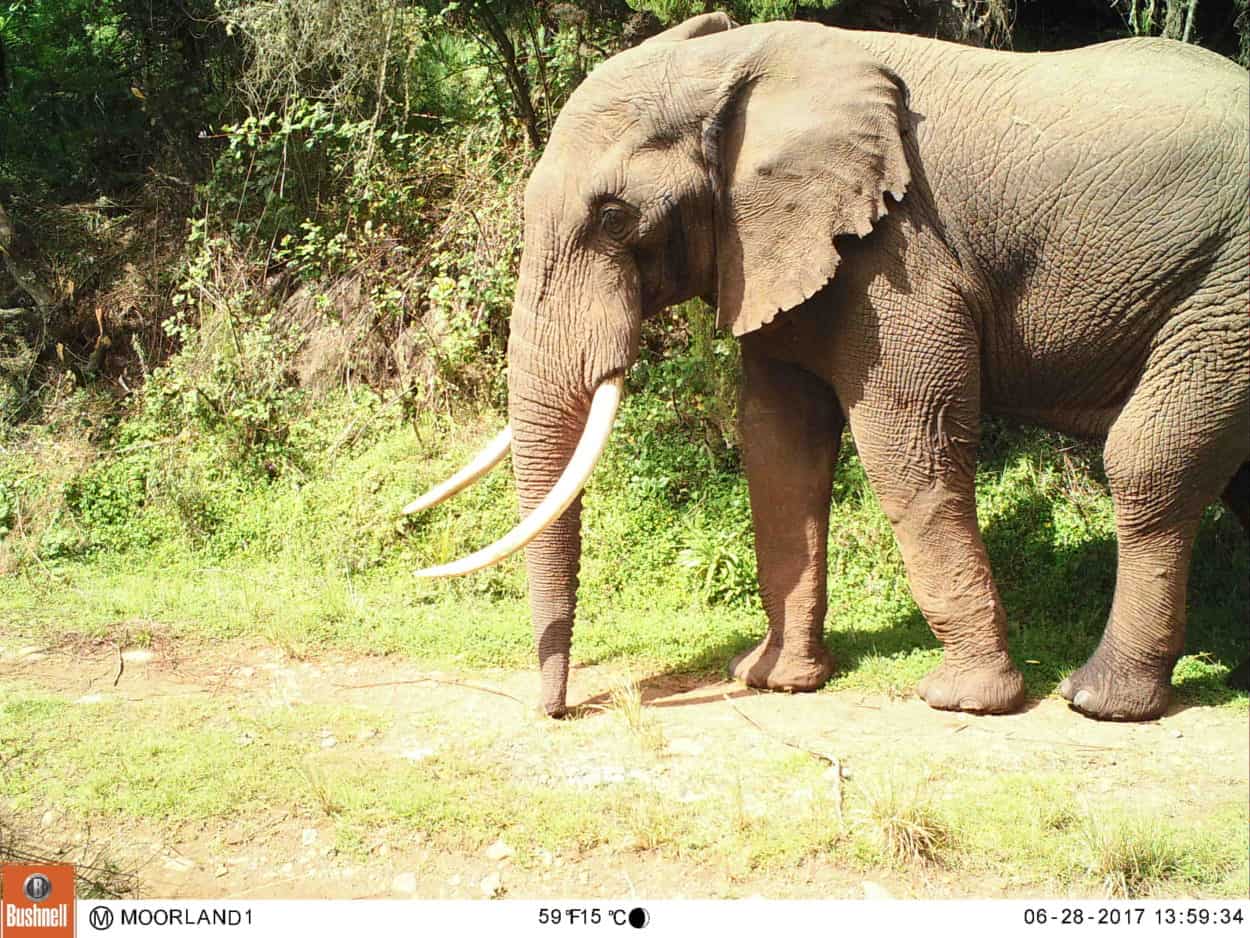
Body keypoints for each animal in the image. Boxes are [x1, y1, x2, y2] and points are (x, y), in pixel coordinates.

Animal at [406, 14, 1250, 722]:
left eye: (614, 219)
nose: (559, 713)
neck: (734, 65)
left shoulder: (900, 252)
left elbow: (909, 443)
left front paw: (963, 701)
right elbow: (780, 446)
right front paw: (773, 681)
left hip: (1225, 291)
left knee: (1149, 462)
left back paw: (1098, 701)